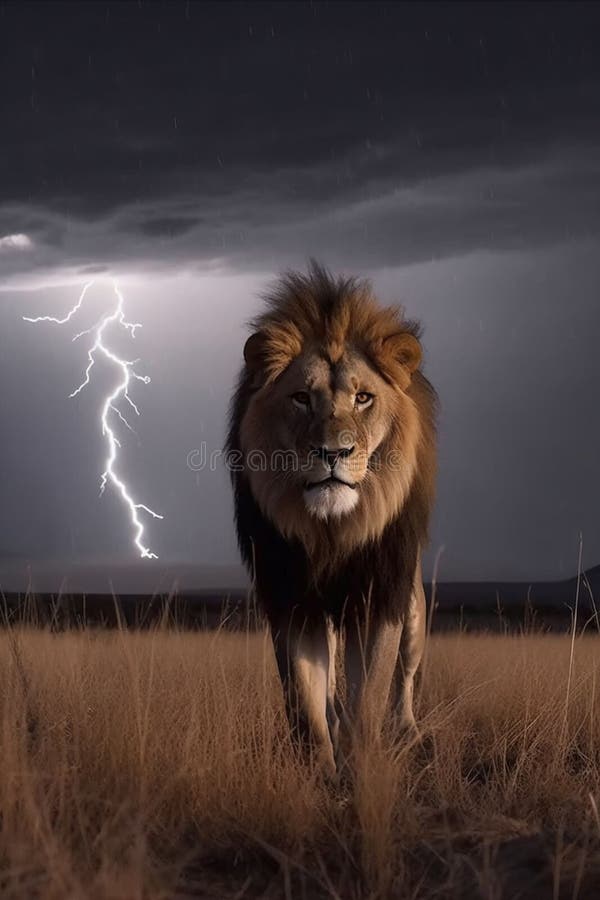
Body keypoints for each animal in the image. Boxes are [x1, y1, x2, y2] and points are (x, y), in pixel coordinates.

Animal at [226, 262, 437, 775]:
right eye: (302, 397)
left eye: (363, 398)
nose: (333, 452)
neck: (332, 531)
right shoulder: (292, 600)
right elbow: (306, 703)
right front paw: (320, 771)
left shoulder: (378, 598)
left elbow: (371, 698)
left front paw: (360, 770)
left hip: (413, 606)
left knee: (406, 676)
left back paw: (409, 731)